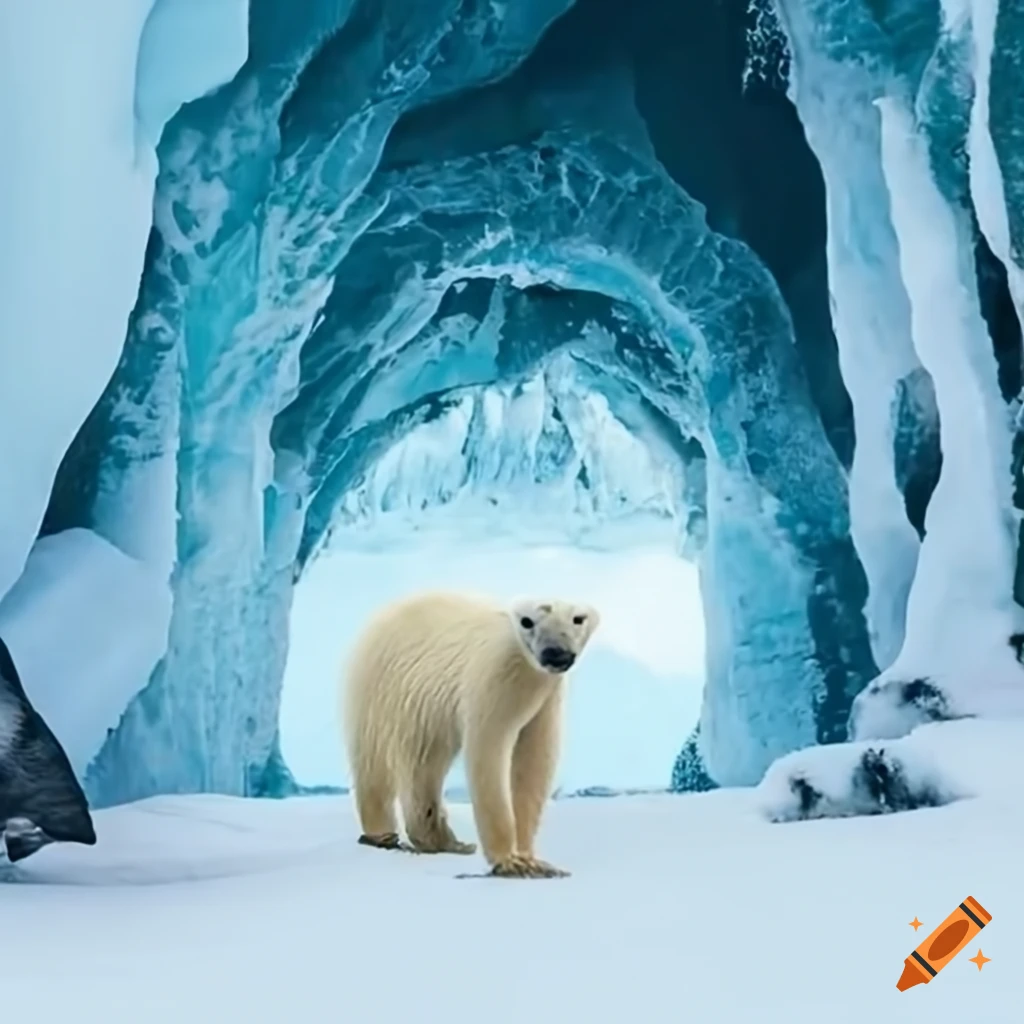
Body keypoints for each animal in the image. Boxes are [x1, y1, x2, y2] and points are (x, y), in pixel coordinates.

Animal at [339, 590, 600, 879]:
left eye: (578, 618)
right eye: (527, 621)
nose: (555, 653)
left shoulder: (546, 698)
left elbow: (534, 764)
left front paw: (531, 858)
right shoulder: (495, 679)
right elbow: (488, 755)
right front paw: (511, 862)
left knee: (424, 765)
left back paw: (446, 843)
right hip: (380, 687)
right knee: (374, 762)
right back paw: (383, 836)